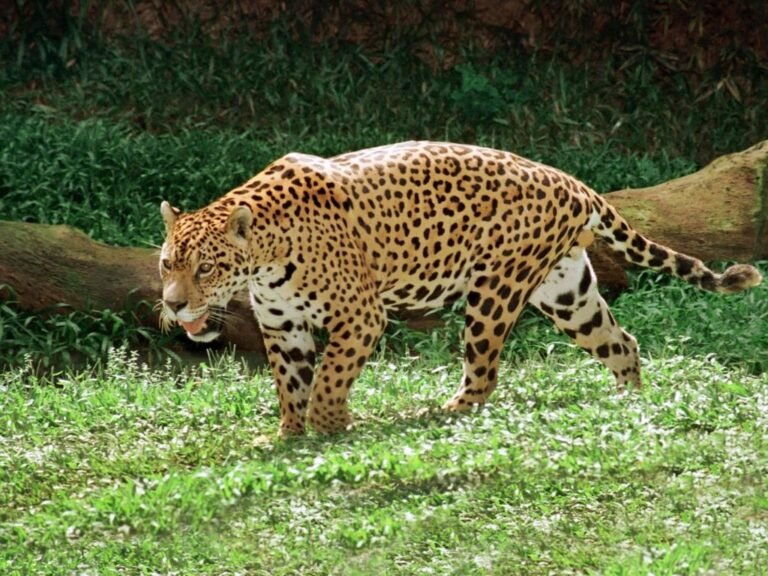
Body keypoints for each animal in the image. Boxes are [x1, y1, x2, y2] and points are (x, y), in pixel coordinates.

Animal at [159, 141, 762, 436]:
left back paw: (443, 411)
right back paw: (627, 404)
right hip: (567, 292)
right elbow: (290, 385)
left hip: (494, 291)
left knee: (484, 373)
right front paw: (286, 435)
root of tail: (571, 181)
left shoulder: (360, 316)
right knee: (621, 342)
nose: (173, 304)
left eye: (206, 269)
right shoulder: (282, 326)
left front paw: (333, 429)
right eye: (168, 265)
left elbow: (328, 381)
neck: (265, 255)